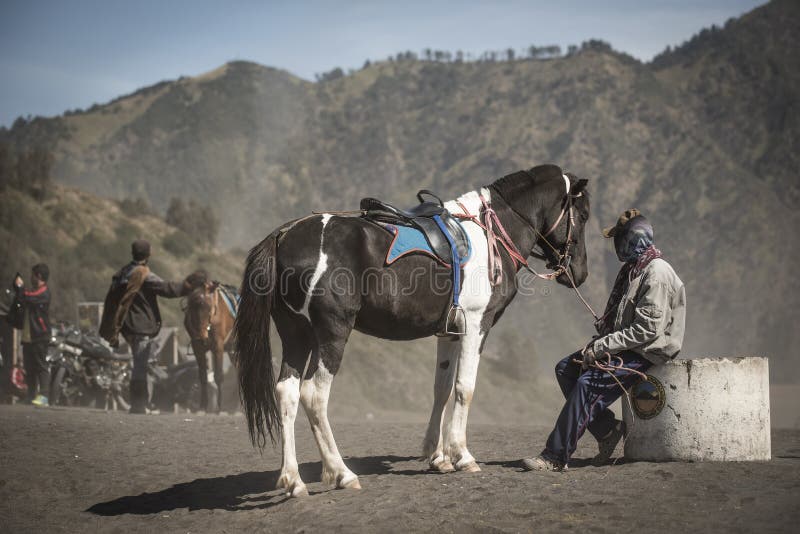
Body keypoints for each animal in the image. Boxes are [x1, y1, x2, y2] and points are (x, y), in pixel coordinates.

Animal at [183, 271, 237, 414]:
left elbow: (218, 376)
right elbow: (203, 376)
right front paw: (203, 406)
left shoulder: (218, 346)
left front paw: (219, 407)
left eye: (208, 307)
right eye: (190, 306)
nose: (201, 337)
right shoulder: (198, 348)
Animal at [234, 164, 590, 497]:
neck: (489, 232)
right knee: (315, 395)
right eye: (583, 215)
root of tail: (285, 236)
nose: (579, 272)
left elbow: (441, 389)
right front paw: (461, 455)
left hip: (298, 334)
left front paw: (437, 456)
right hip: (331, 333)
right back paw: (341, 473)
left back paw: (293, 480)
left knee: (287, 393)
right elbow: (464, 388)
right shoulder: (477, 324)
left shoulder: (450, 332)